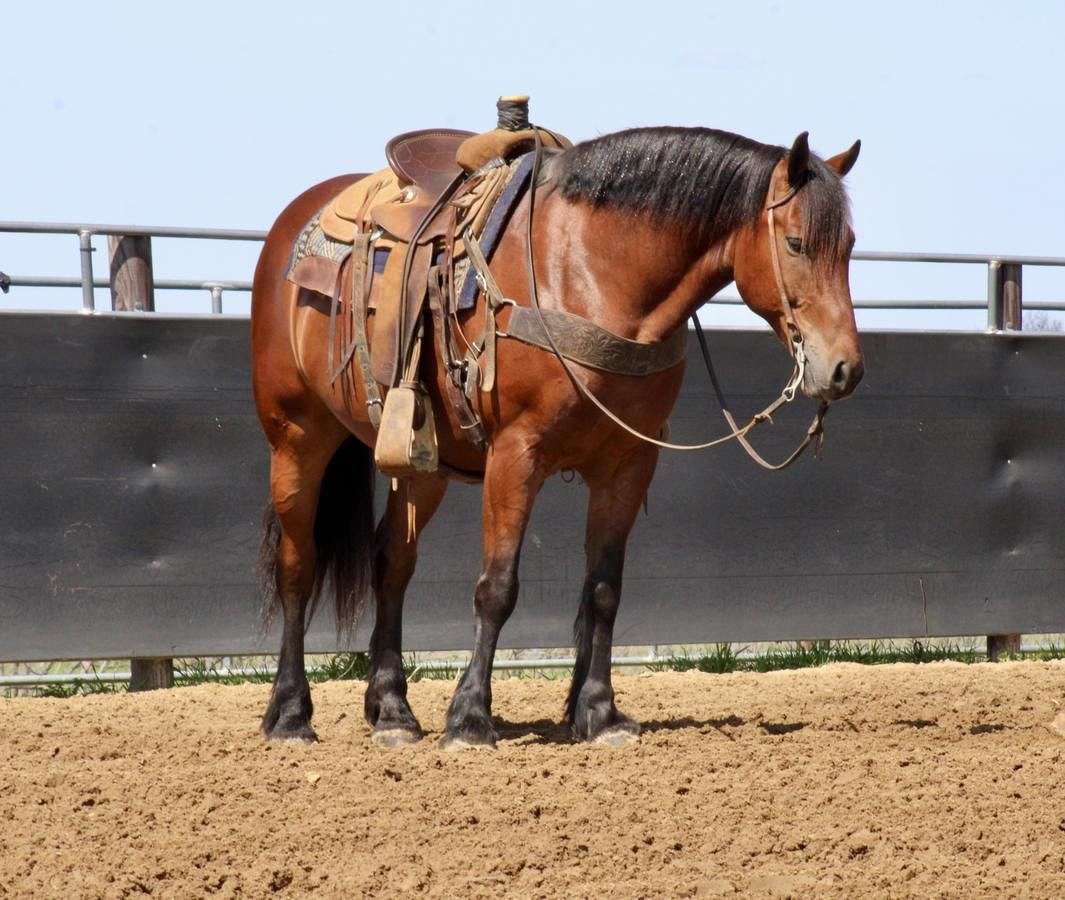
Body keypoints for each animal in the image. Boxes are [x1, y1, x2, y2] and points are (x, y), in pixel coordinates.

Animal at [250, 125, 863, 748]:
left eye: (850, 246)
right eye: (796, 243)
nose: (845, 369)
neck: (589, 274)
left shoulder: (628, 463)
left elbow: (604, 589)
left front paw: (598, 713)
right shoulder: (516, 455)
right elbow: (497, 587)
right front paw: (470, 719)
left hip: (421, 462)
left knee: (392, 561)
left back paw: (393, 711)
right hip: (296, 436)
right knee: (298, 566)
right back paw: (291, 714)